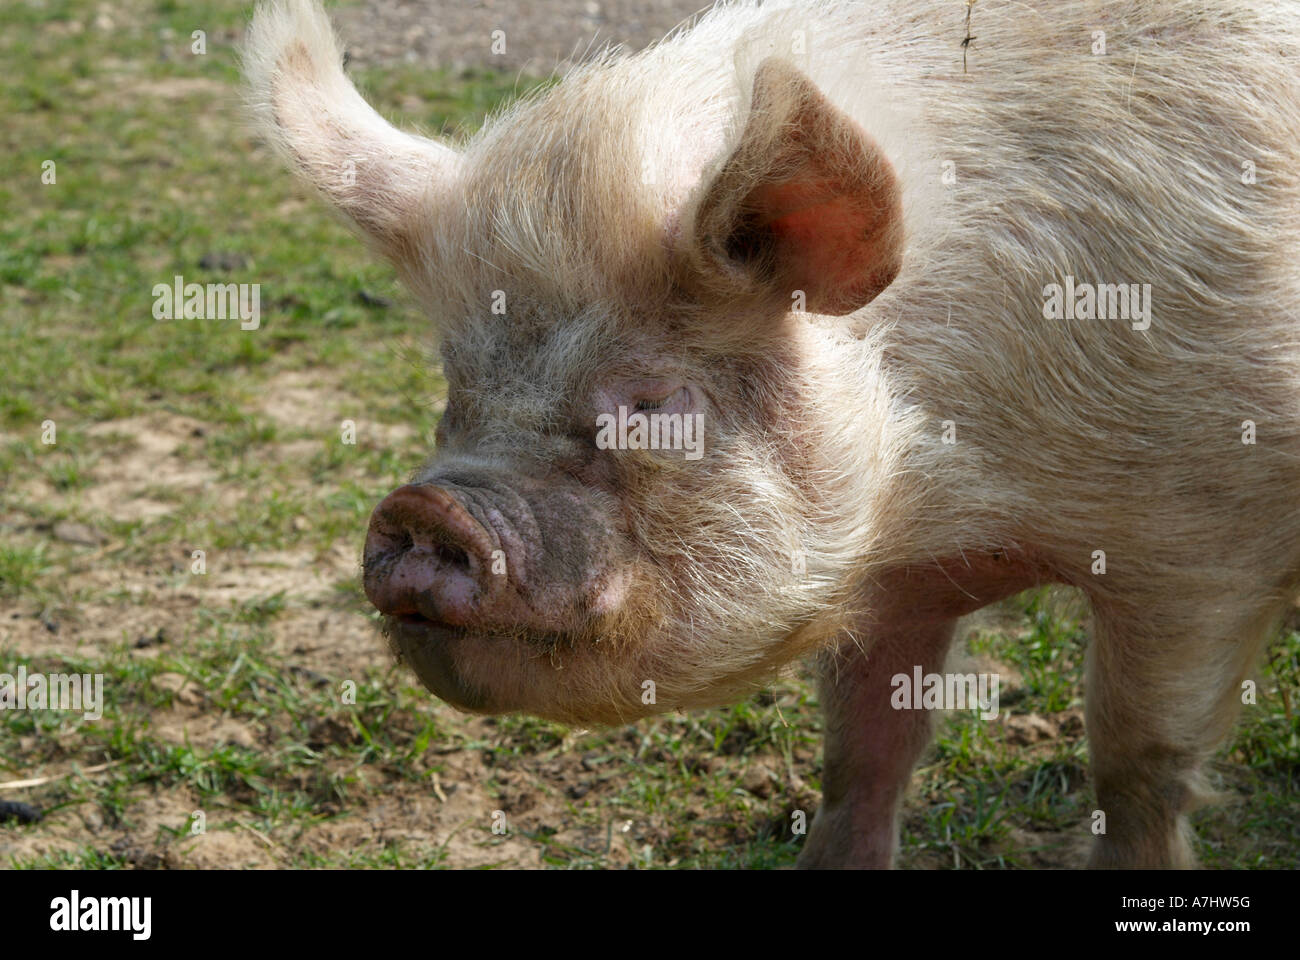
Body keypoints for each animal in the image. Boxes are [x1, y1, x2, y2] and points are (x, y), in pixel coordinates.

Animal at [244, 0, 1300, 868]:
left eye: (653, 405)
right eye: (455, 388)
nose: (429, 508)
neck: (967, 502)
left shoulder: (1200, 546)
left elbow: (1136, 761)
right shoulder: (900, 581)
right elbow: (864, 753)